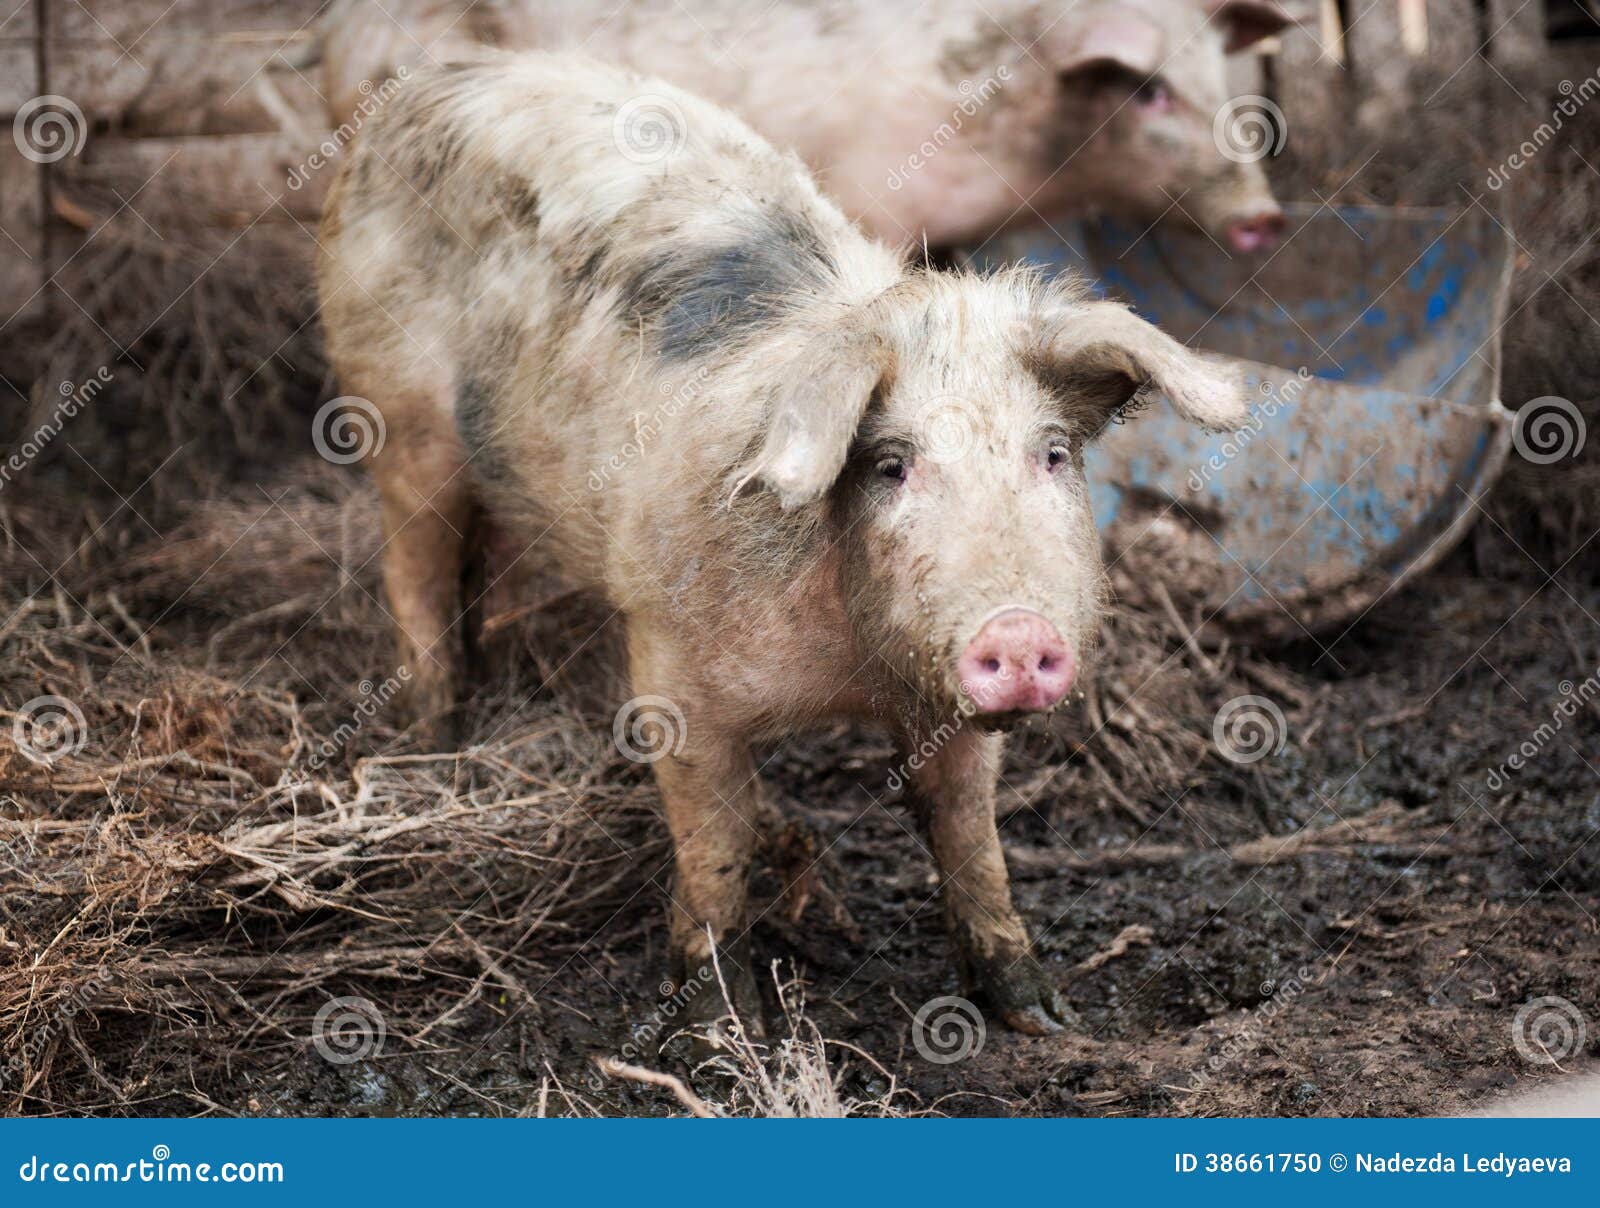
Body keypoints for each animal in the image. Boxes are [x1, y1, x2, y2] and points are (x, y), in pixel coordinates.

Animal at [316, 52, 1246, 1039]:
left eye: (1055, 454)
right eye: (891, 465)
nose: (1018, 629)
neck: (851, 677)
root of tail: (430, 79)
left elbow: (969, 832)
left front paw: (1042, 1017)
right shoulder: (670, 657)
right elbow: (716, 840)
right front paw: (725, 1029)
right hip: (397, 421)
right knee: (412, 574)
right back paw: (442, 738)